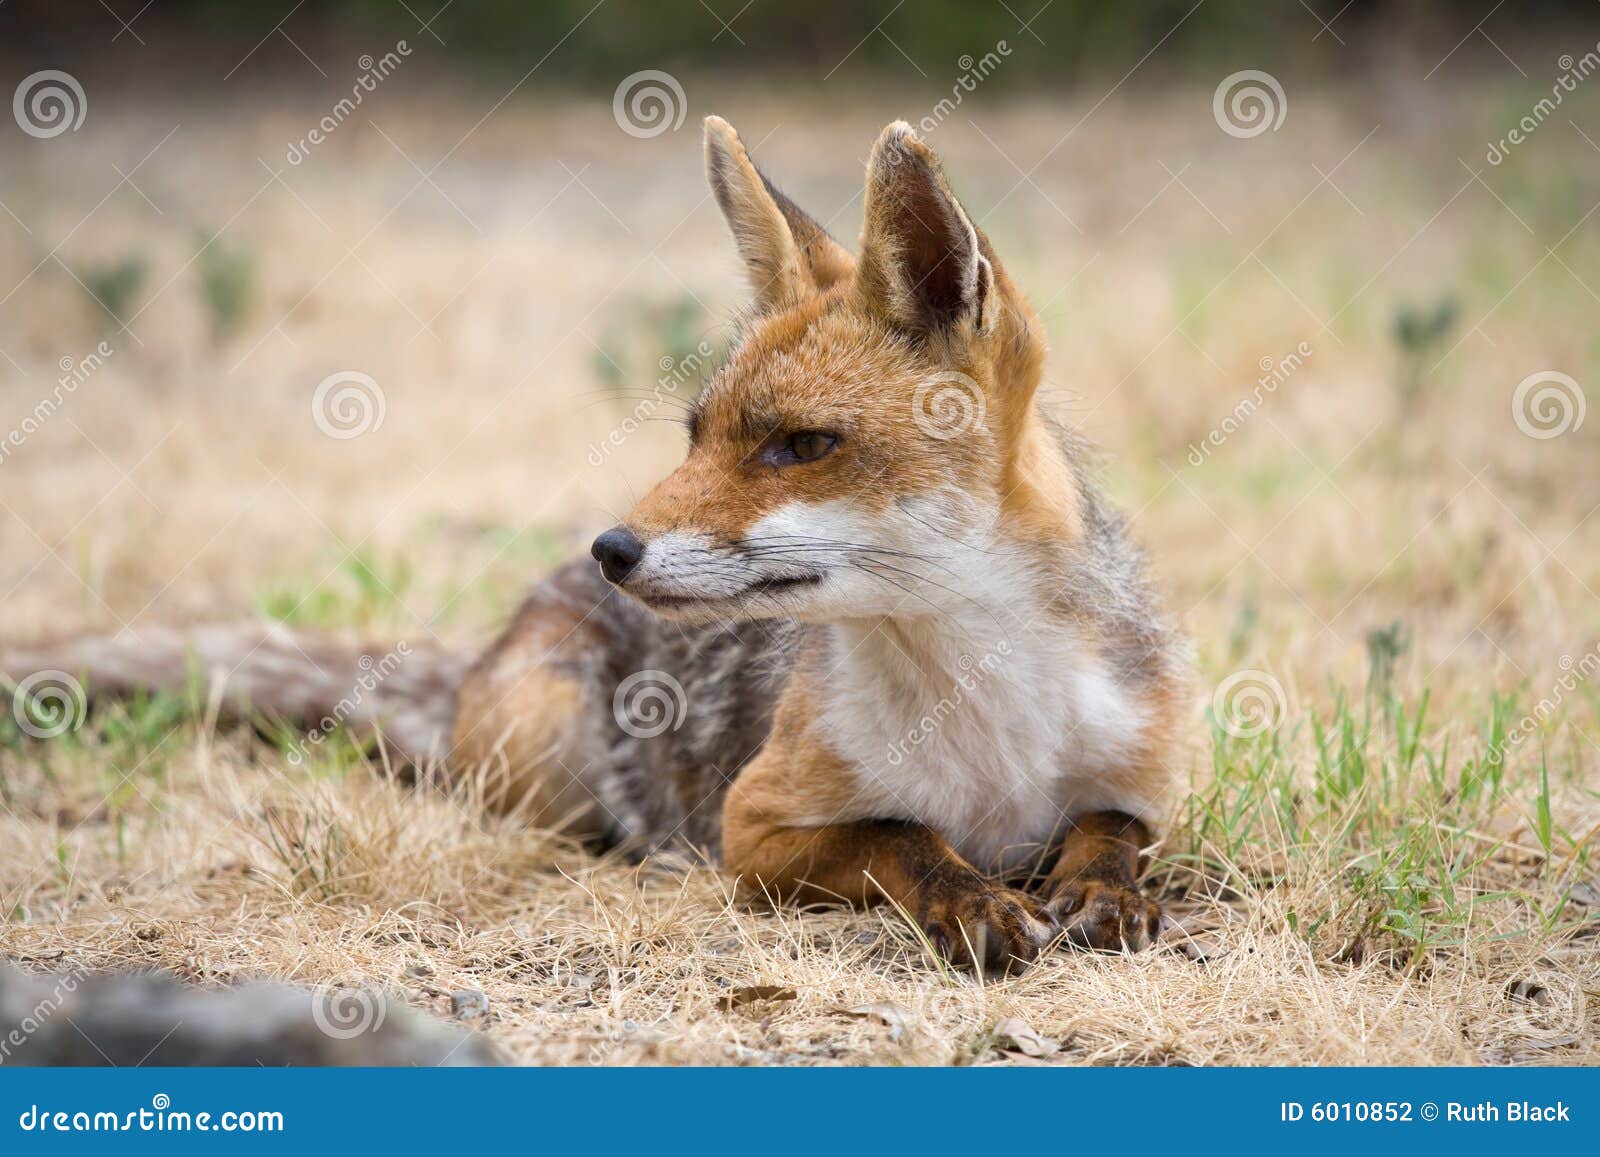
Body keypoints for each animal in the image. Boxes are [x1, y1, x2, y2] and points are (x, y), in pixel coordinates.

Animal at [1, 118, 1186, 972]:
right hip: (554, 754)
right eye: (695, 434)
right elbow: (901, 837)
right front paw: (971, 899)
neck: (986, 726)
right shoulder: (755, 828)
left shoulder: (1150, 785)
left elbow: (1106, 829)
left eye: (802, 445)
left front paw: (1097, 889)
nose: (611, 549)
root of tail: (498, 635)